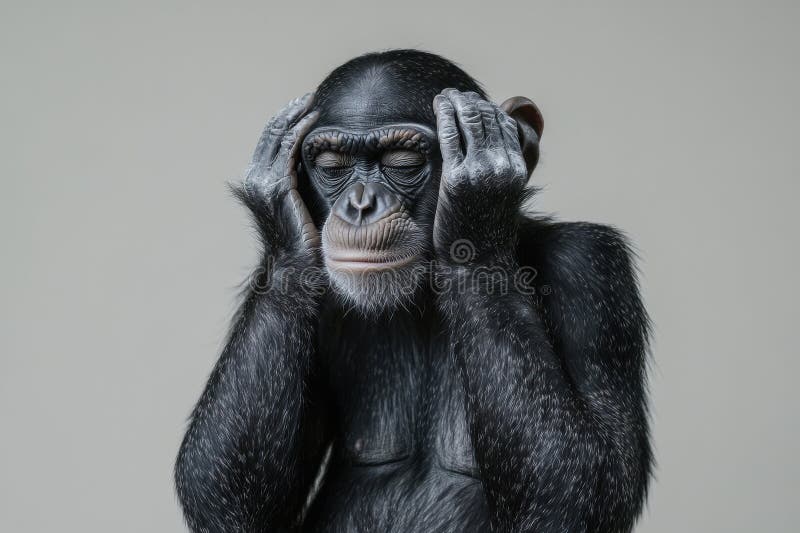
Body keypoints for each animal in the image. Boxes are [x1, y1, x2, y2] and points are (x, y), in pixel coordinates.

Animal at [175, 49, 652, 533]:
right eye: (331, 165)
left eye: (403, 161)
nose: (360, 203)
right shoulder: (269, 279)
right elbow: (219, 488)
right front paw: (272, 193)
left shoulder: (590, 268)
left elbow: (584, 481)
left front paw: (478, 195)